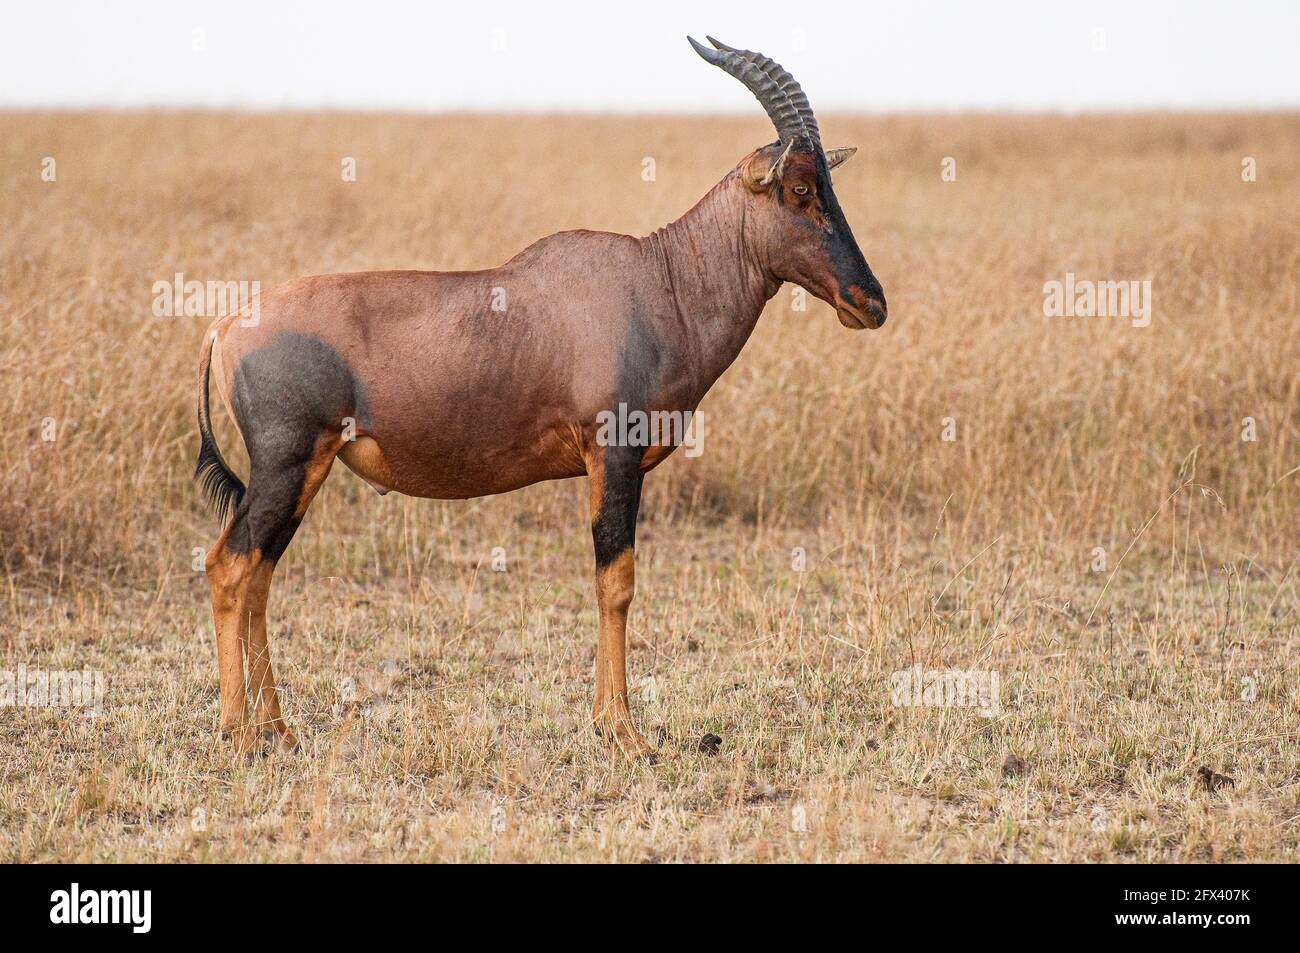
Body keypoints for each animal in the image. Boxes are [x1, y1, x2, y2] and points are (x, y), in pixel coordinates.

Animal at [196, 37, 887, 762]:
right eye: (800, 188)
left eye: (828, 183)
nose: (871, 303)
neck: (657, 280)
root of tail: (227, 325)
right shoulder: (612, 456)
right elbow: (617, 583)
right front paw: (622, 731)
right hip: (286, 464)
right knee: (228, 567)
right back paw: (237, 730)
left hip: (304, 474)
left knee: (260, 575)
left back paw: (276, 727)